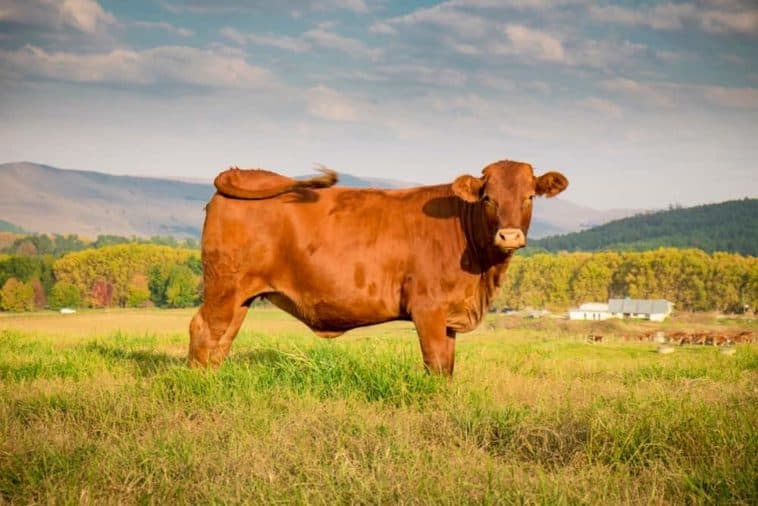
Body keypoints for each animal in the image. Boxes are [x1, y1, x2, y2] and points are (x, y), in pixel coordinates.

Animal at [189, 159, 568, 375]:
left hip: (240, 294)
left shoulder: (448, 317)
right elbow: (435, 364)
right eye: (488, 198)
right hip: (224, 286)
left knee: (223, 337)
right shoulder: (428, 309)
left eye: (529, 197)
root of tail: (245, 173)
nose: (509, 235)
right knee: (204, 329)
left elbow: (448, 366)